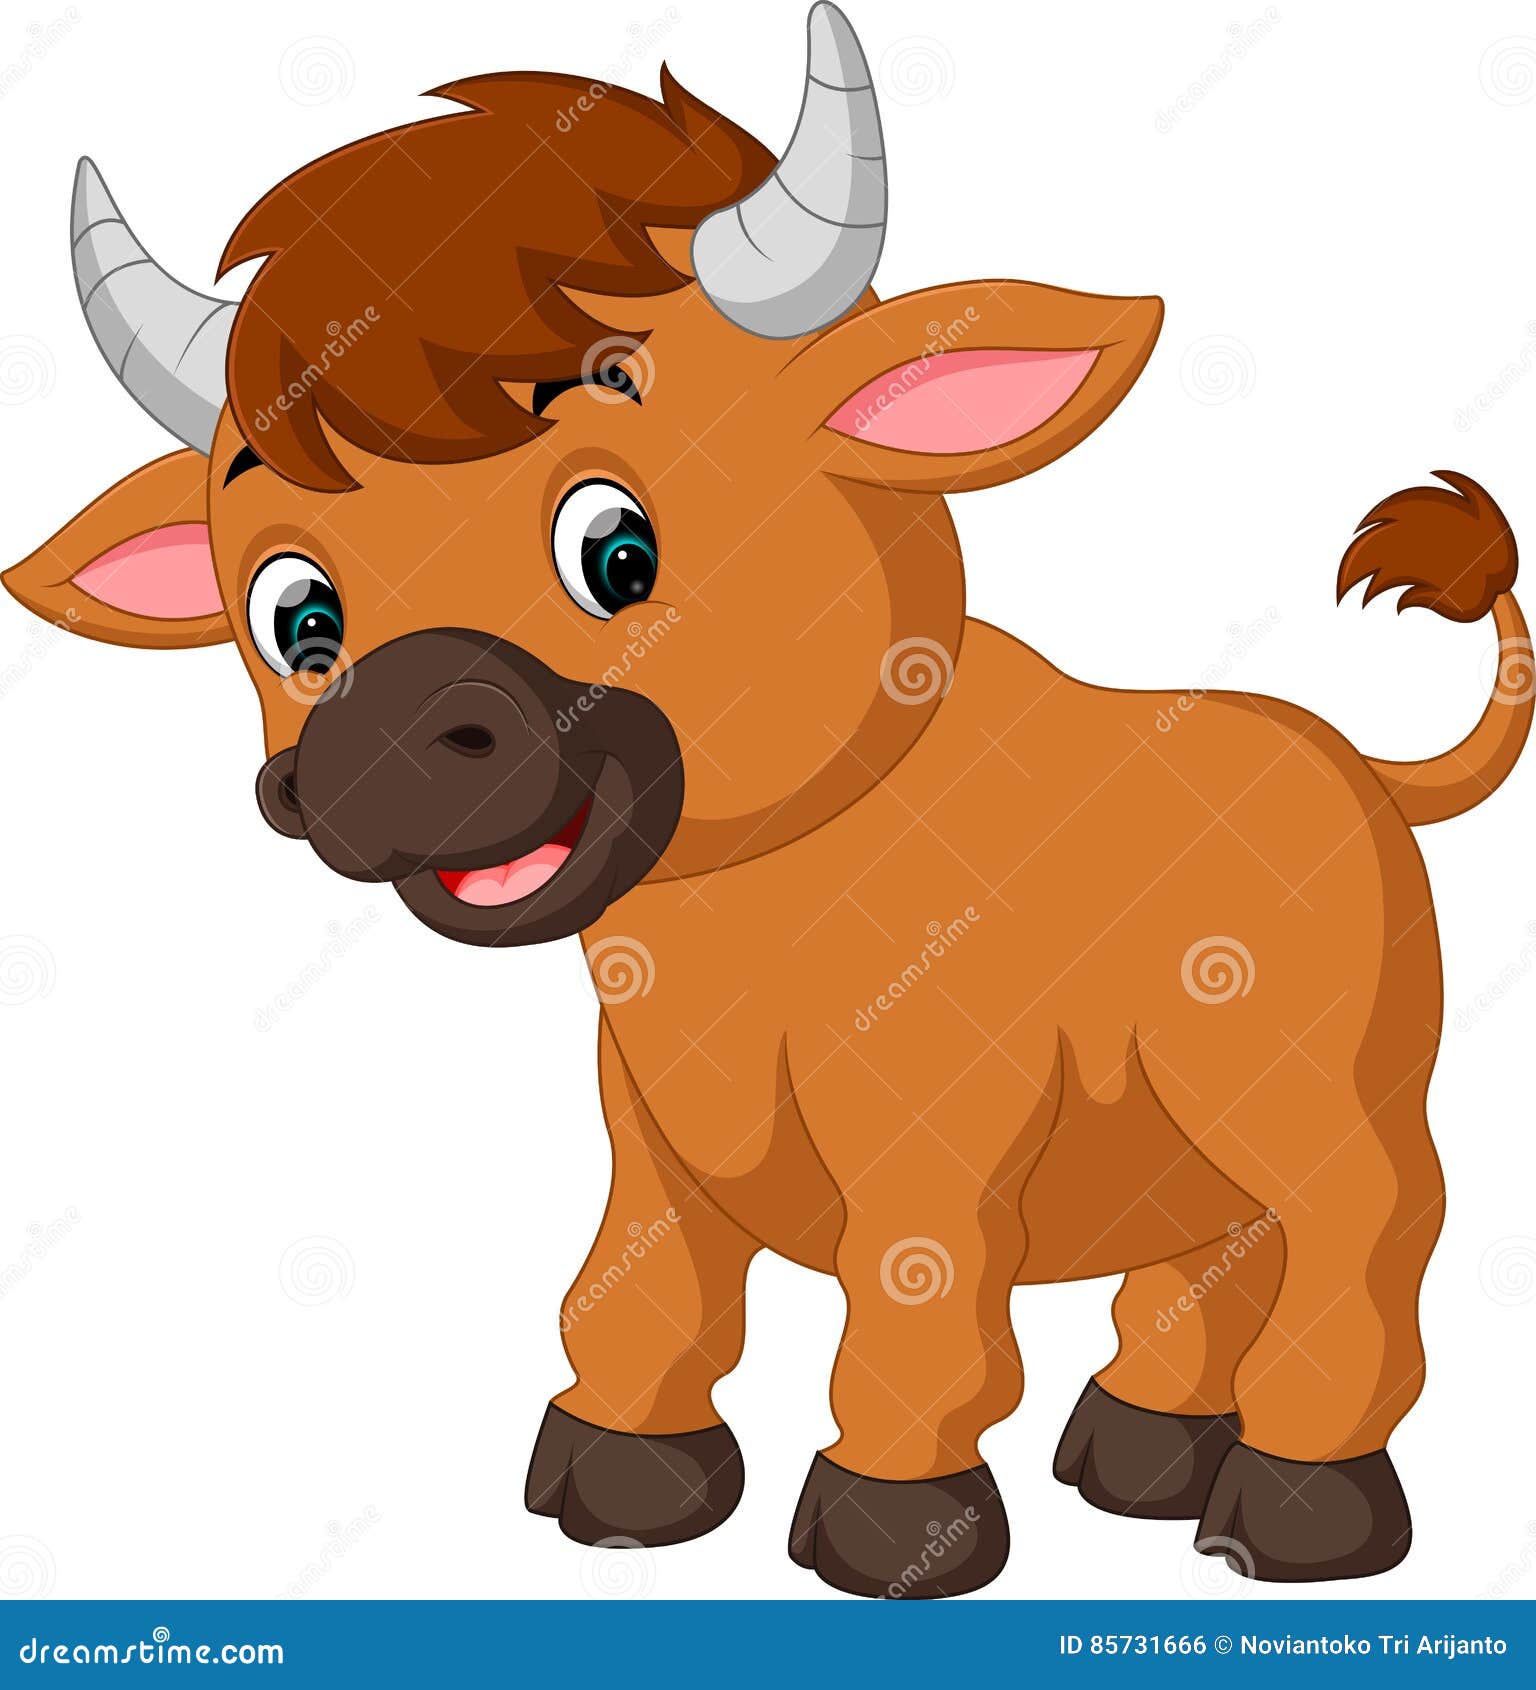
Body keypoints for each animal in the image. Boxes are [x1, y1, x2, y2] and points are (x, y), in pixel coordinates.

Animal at [5, 5, 1529, 1598]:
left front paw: (893, 1527)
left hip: (1313, 1097)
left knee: (1363, 1232)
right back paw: (1139, 1455)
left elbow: (917, 1315)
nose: (388, 732)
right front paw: (624, 1481)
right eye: (297, 617)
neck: (745, 919)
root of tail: (1357, 766)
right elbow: (639, 1291)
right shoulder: (648, 1142)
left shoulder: (933, 1144)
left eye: (619, 550)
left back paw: (1298, 1504)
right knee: (1213, 1260)